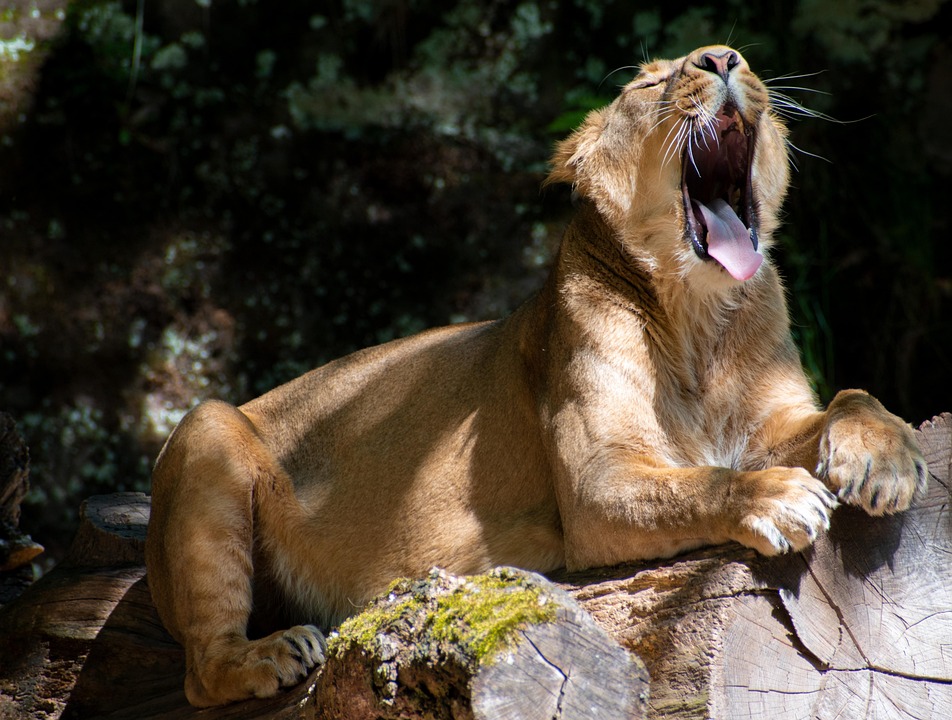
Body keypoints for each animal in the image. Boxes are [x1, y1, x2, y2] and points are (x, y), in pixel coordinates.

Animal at [145, 45, 927, 707]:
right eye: (647, 83)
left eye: (742, 58)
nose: (723, 58)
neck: (700, 319)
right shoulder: (599, 486)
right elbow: (704, 482)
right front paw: (778, 497)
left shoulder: (772, 419)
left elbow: (849, 396)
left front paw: (887, 456)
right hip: (207, 426)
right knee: (199, 673)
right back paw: (270, 654)